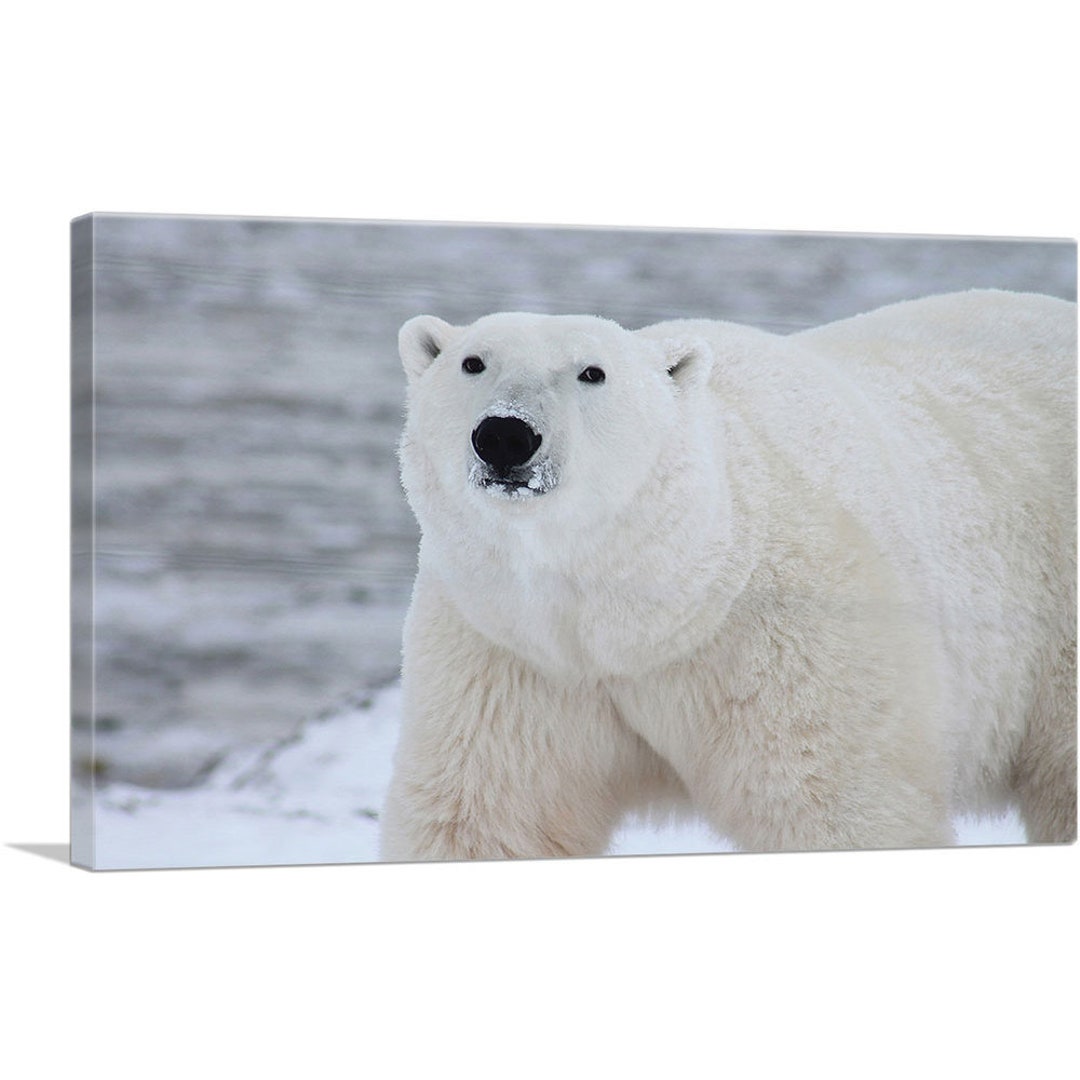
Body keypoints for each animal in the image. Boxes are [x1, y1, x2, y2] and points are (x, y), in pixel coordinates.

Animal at [380, 289, 1076, 860]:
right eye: (473, 362)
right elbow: (486, 815)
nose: (505, 435)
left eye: (592, 372)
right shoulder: (510, 652)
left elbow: (834, 802)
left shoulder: (788, 639)